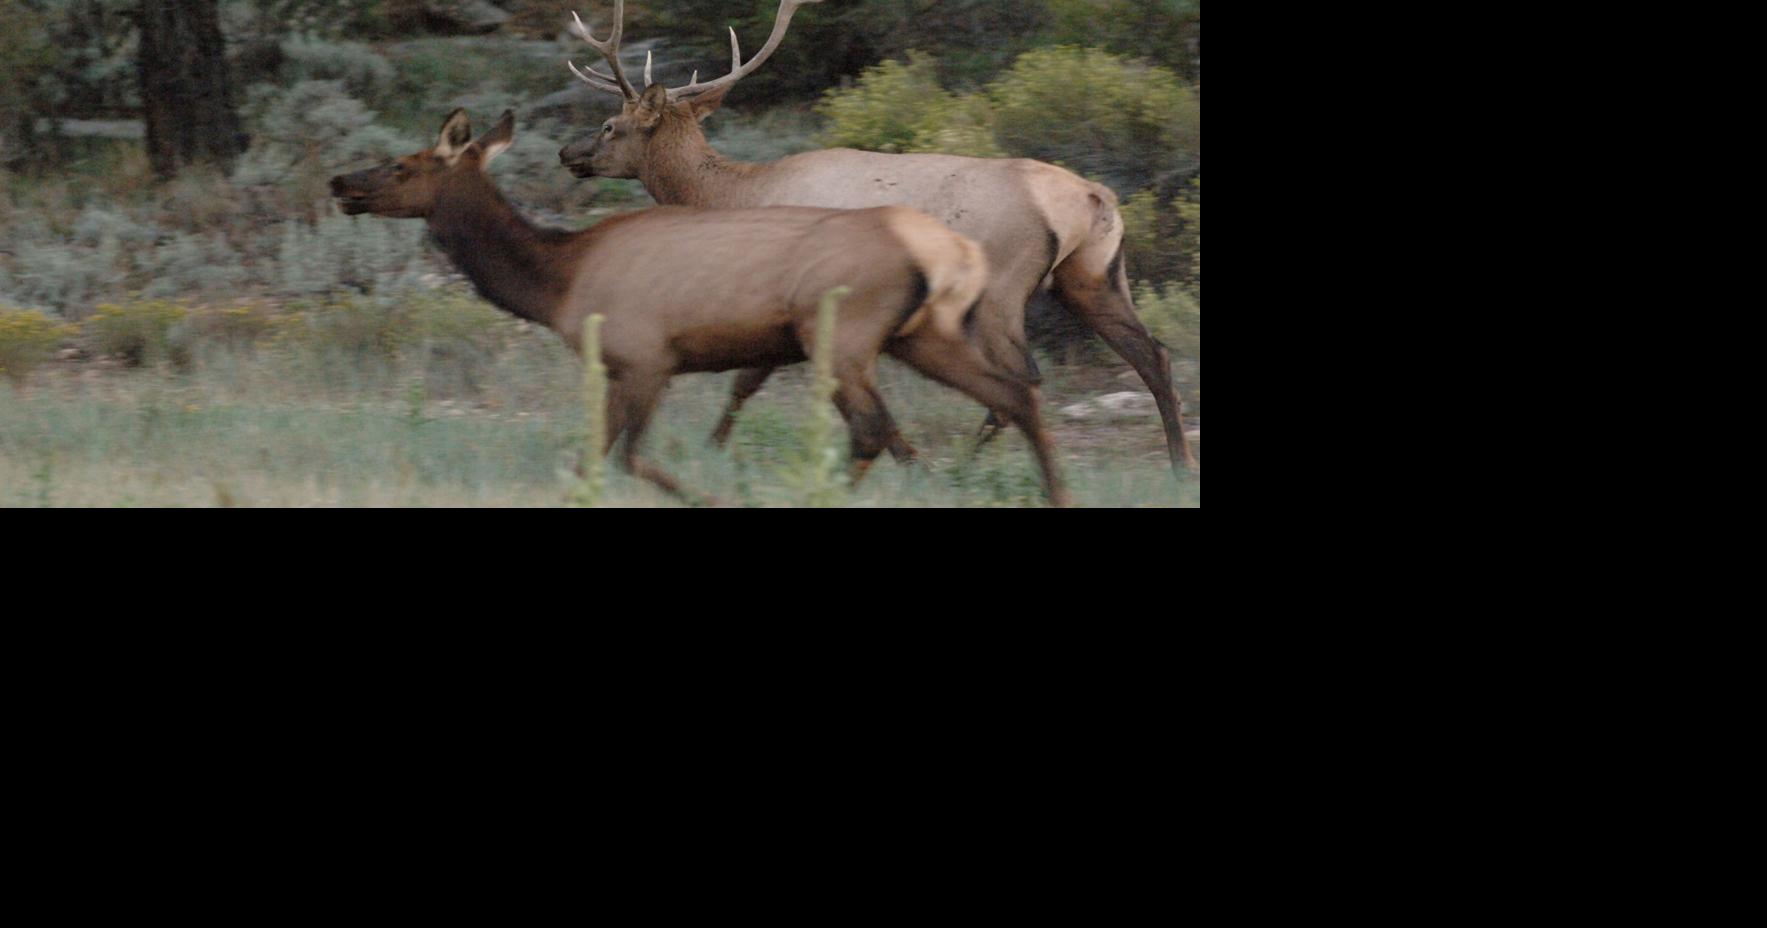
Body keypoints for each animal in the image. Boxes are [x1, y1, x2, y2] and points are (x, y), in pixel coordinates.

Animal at [329, 109, 1073, 507]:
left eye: (403, 164)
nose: (340, 181)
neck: (555, 282)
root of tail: (951, 250)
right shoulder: (618, 366)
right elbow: (591, 461)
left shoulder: (646, 356)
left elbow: (629, 459)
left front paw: (714, 494)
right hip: (924, 333)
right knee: (1013, 394)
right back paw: (1054, 493)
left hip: (842, 334)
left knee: (874, 428)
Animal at [556, 0, 1199, 477]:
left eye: (610, 125)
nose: (568, 153)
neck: (733, 195)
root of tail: (1092, 197)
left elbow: (749, 380)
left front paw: (712, 452)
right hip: (1092, 274)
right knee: (1154, 355)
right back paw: (1177, 466)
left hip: (1004, 283)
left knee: (1025, 377)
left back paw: (965, 468)